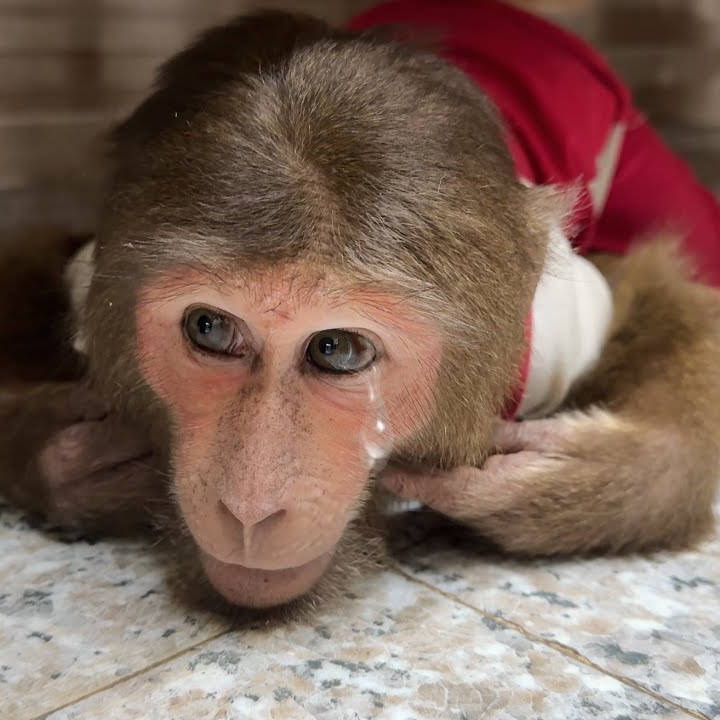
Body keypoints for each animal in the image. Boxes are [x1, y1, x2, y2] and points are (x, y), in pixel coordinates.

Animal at [1, 2, 719, 611]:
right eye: (210, 328)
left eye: (337, 349)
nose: (250, 510)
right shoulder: (87, 271)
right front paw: (66, 461)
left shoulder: (567, 328)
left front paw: (574, 486)